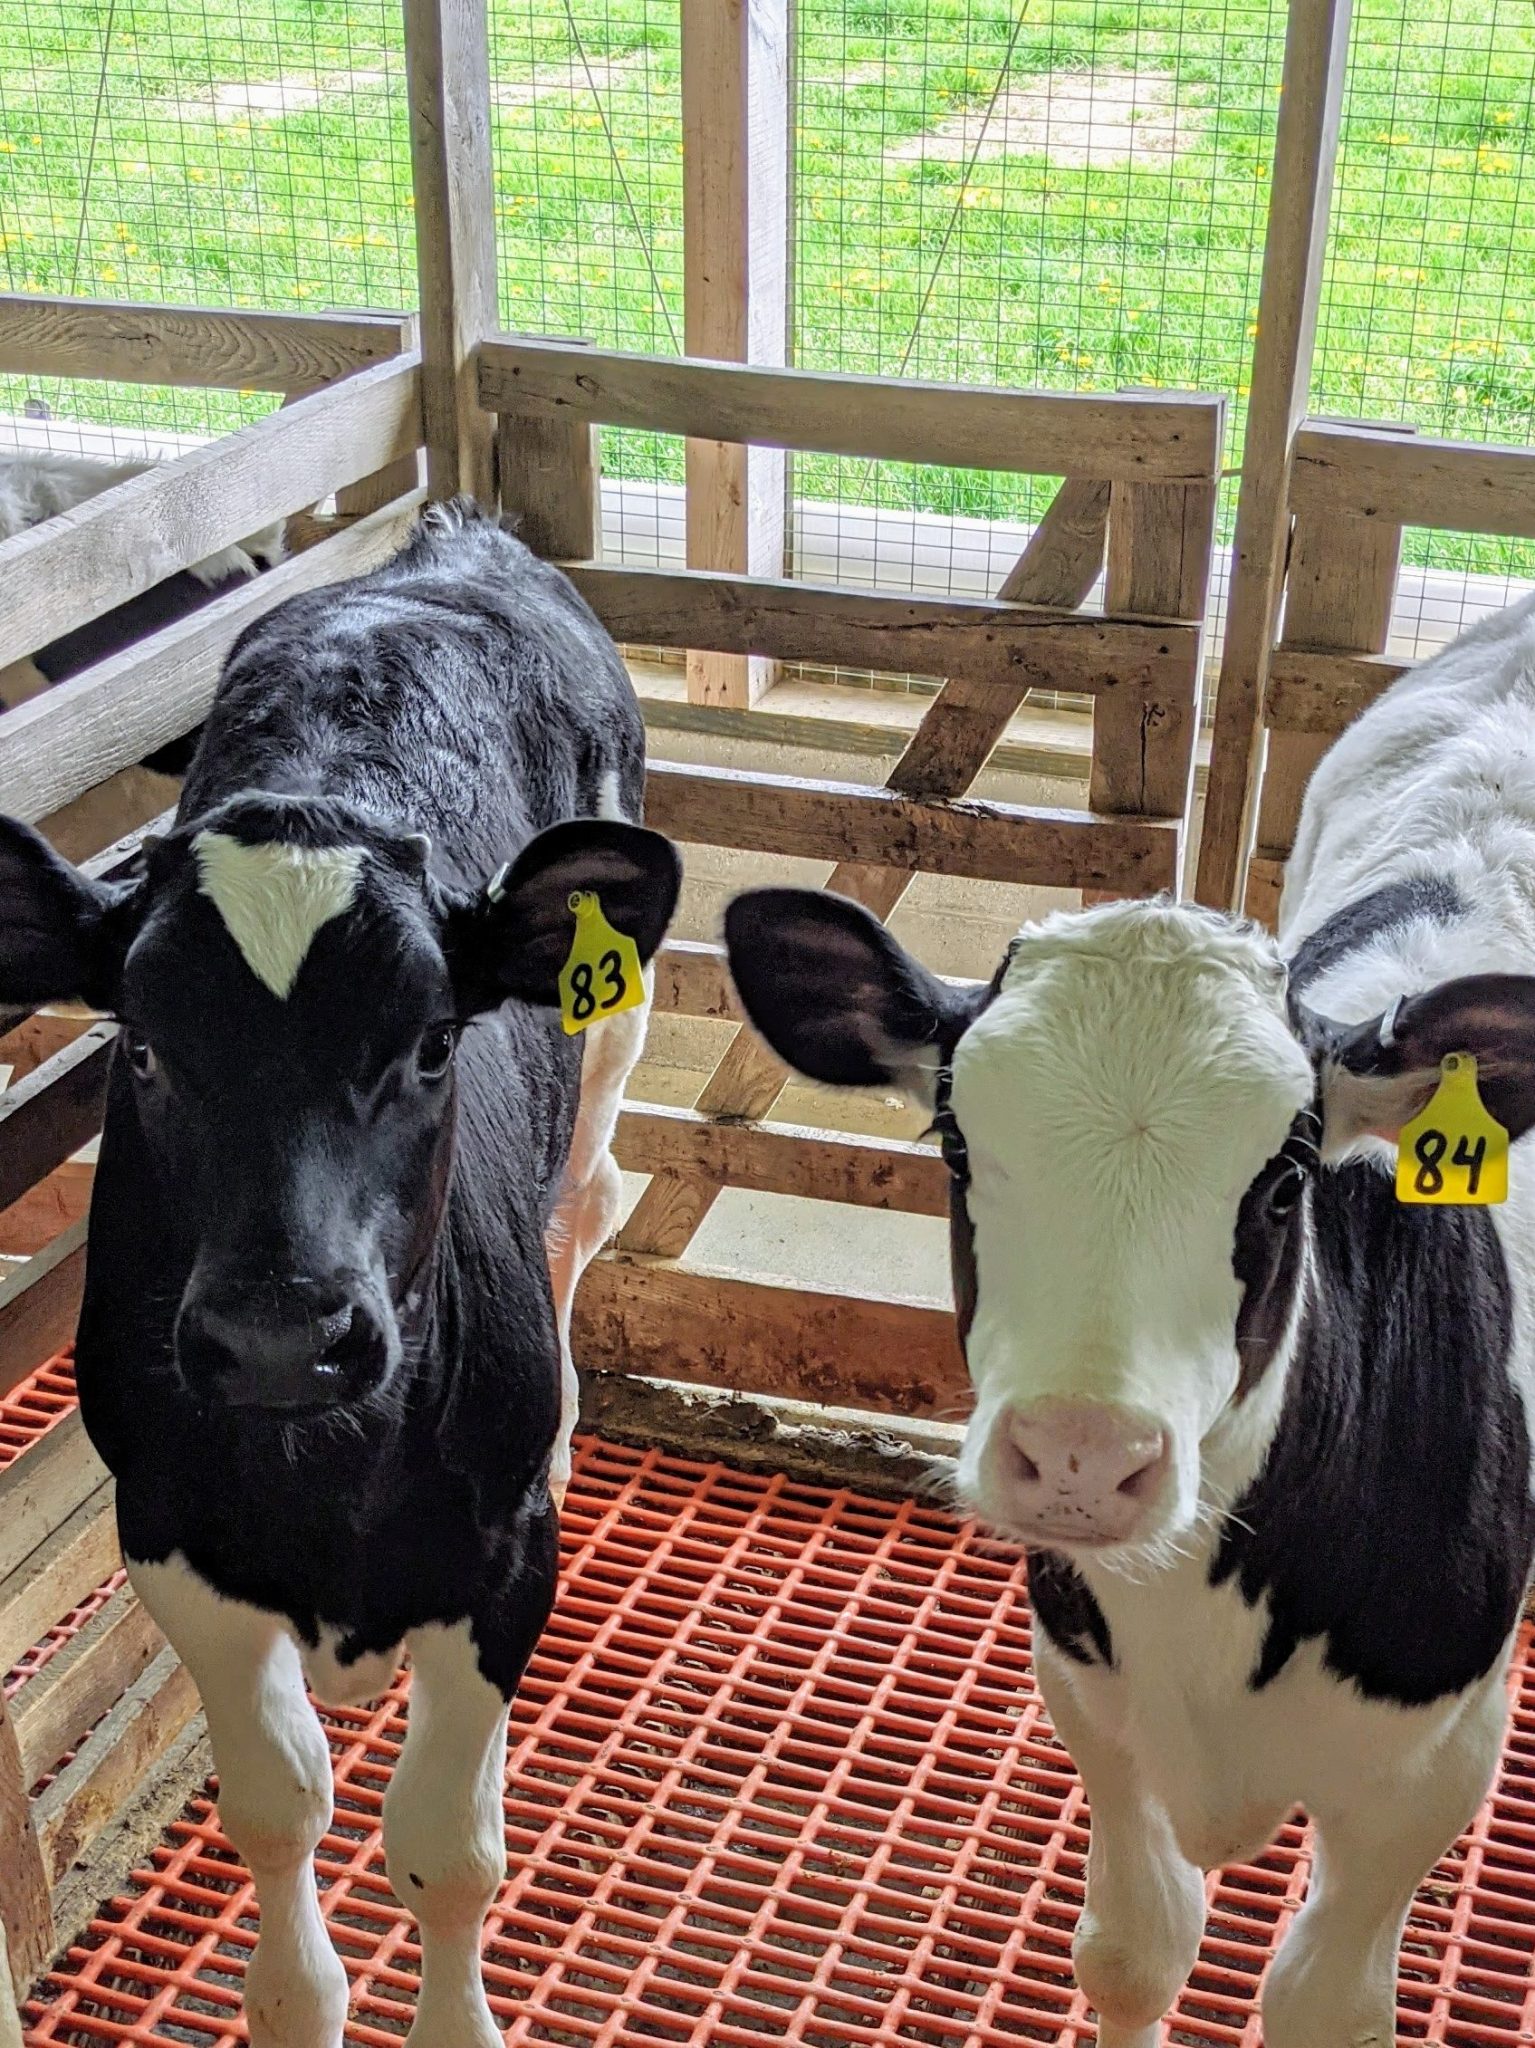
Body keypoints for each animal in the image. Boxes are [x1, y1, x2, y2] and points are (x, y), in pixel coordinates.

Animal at [0, 501, 681, 2048]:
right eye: (142, 1047)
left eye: (431, 1041)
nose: (279, 1334)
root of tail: (452, 538)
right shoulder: (169, 1537)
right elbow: (278, 1807)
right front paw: (294, 1996)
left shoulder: (501, 1565)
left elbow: (445, 1849)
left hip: (609, 1037)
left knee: (590, 1198)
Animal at [722, 588, 1535, 2046]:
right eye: (954, 1145)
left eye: (1285, 1176)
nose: (1081, 1457)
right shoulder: (1087, 1697)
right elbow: (1132, 1949)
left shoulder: (1427, 1773)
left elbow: (1321, 2000)